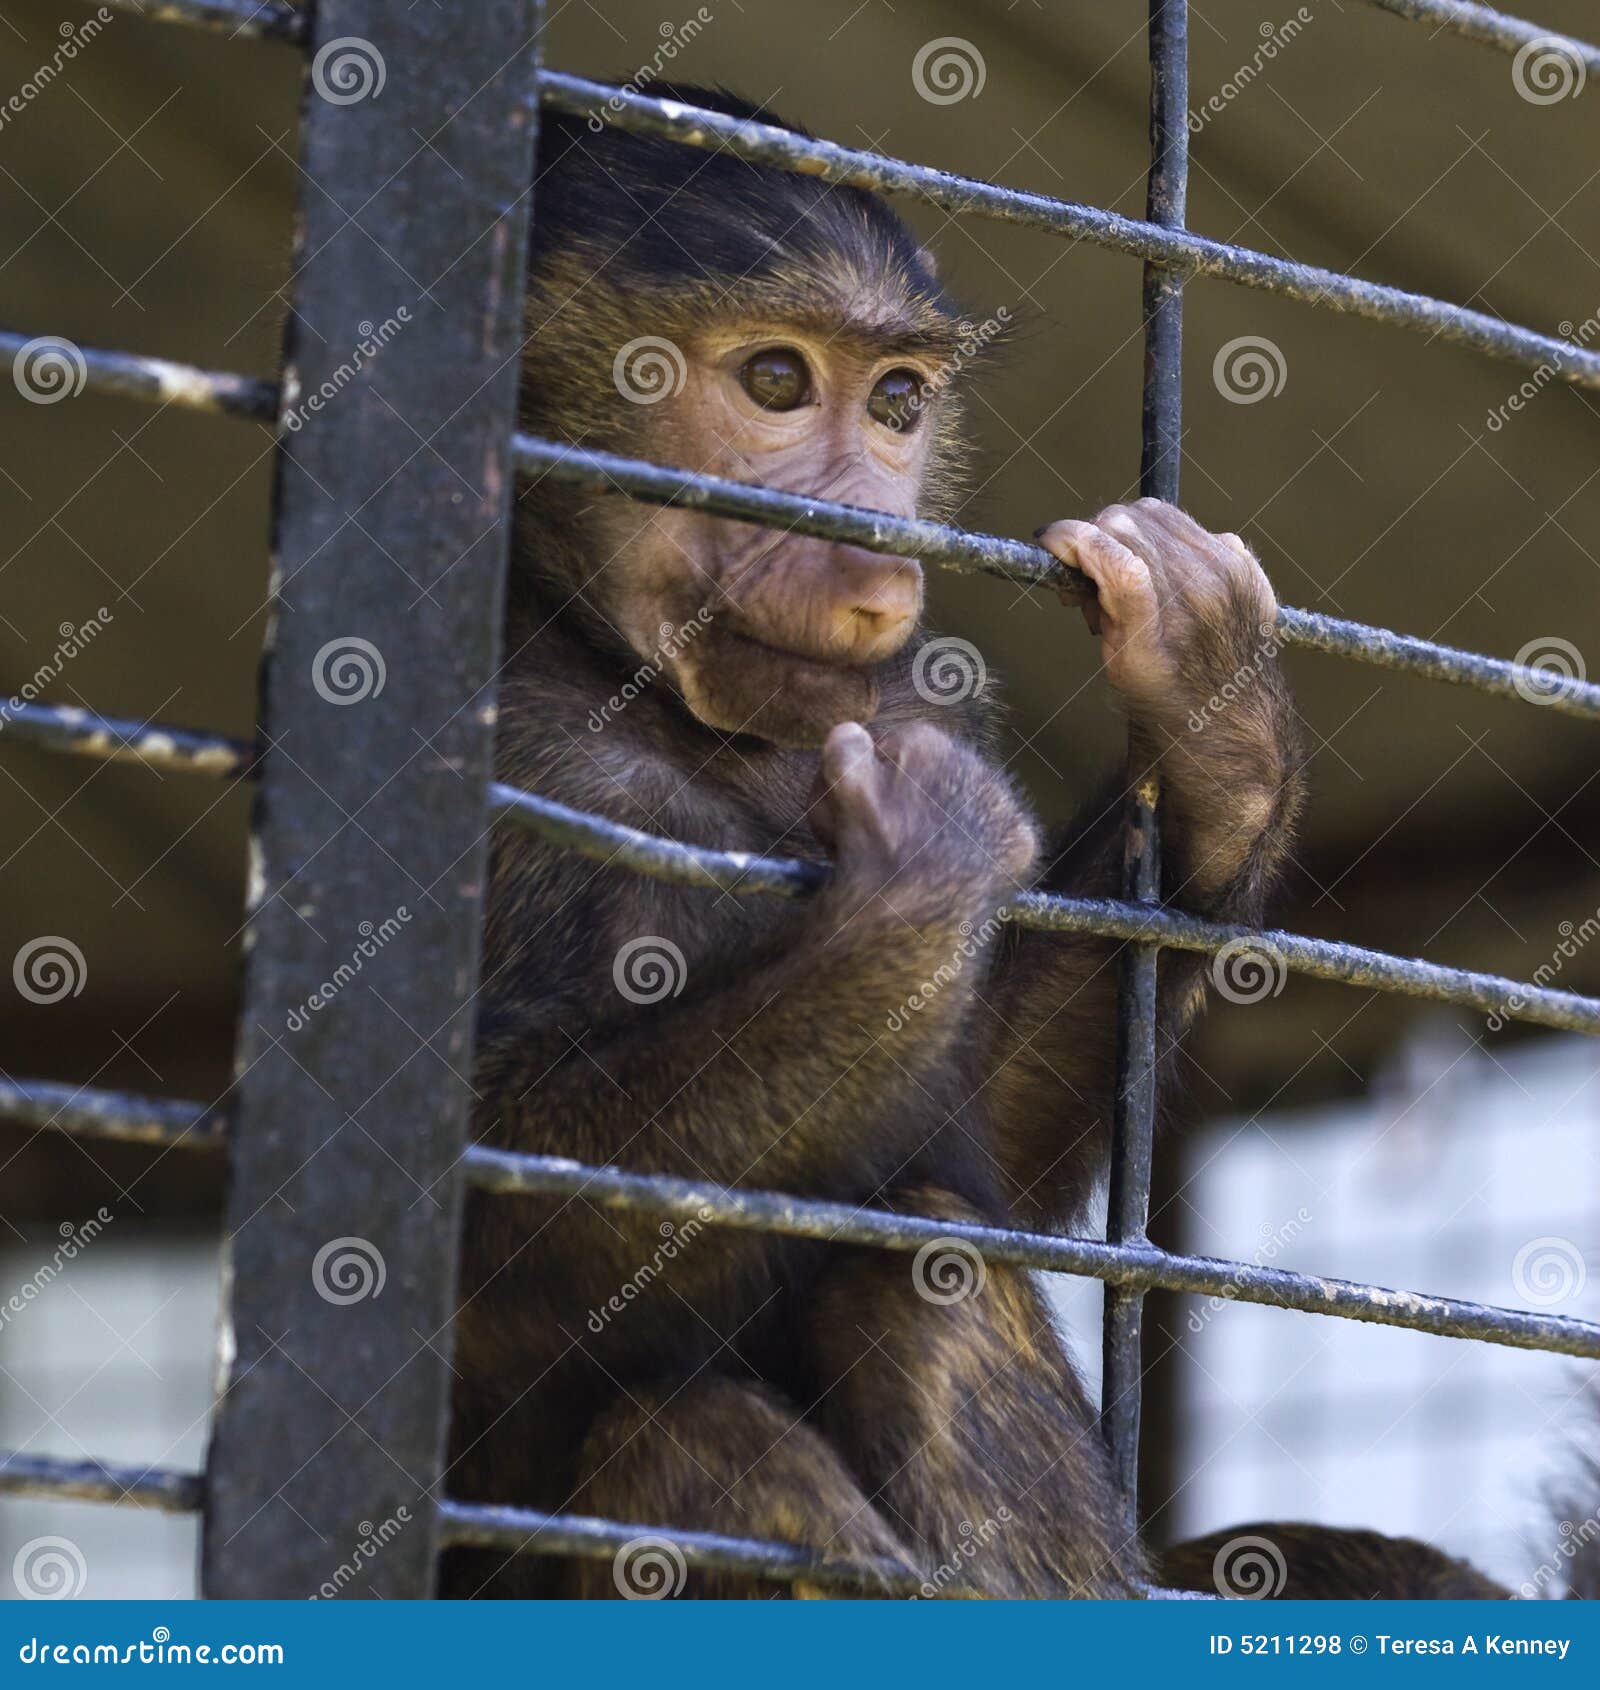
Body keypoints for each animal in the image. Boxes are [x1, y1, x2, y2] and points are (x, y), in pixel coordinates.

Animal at [438, 86, 1305, 1599]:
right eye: (777, 382)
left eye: (897, 404)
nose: (871, 557)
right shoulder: (500, 741)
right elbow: (477, 1216)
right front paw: (922, 881)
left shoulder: (891, 694)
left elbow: (975, 1149)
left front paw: (1220, 731)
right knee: (696, 1425)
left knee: (919, 1277)